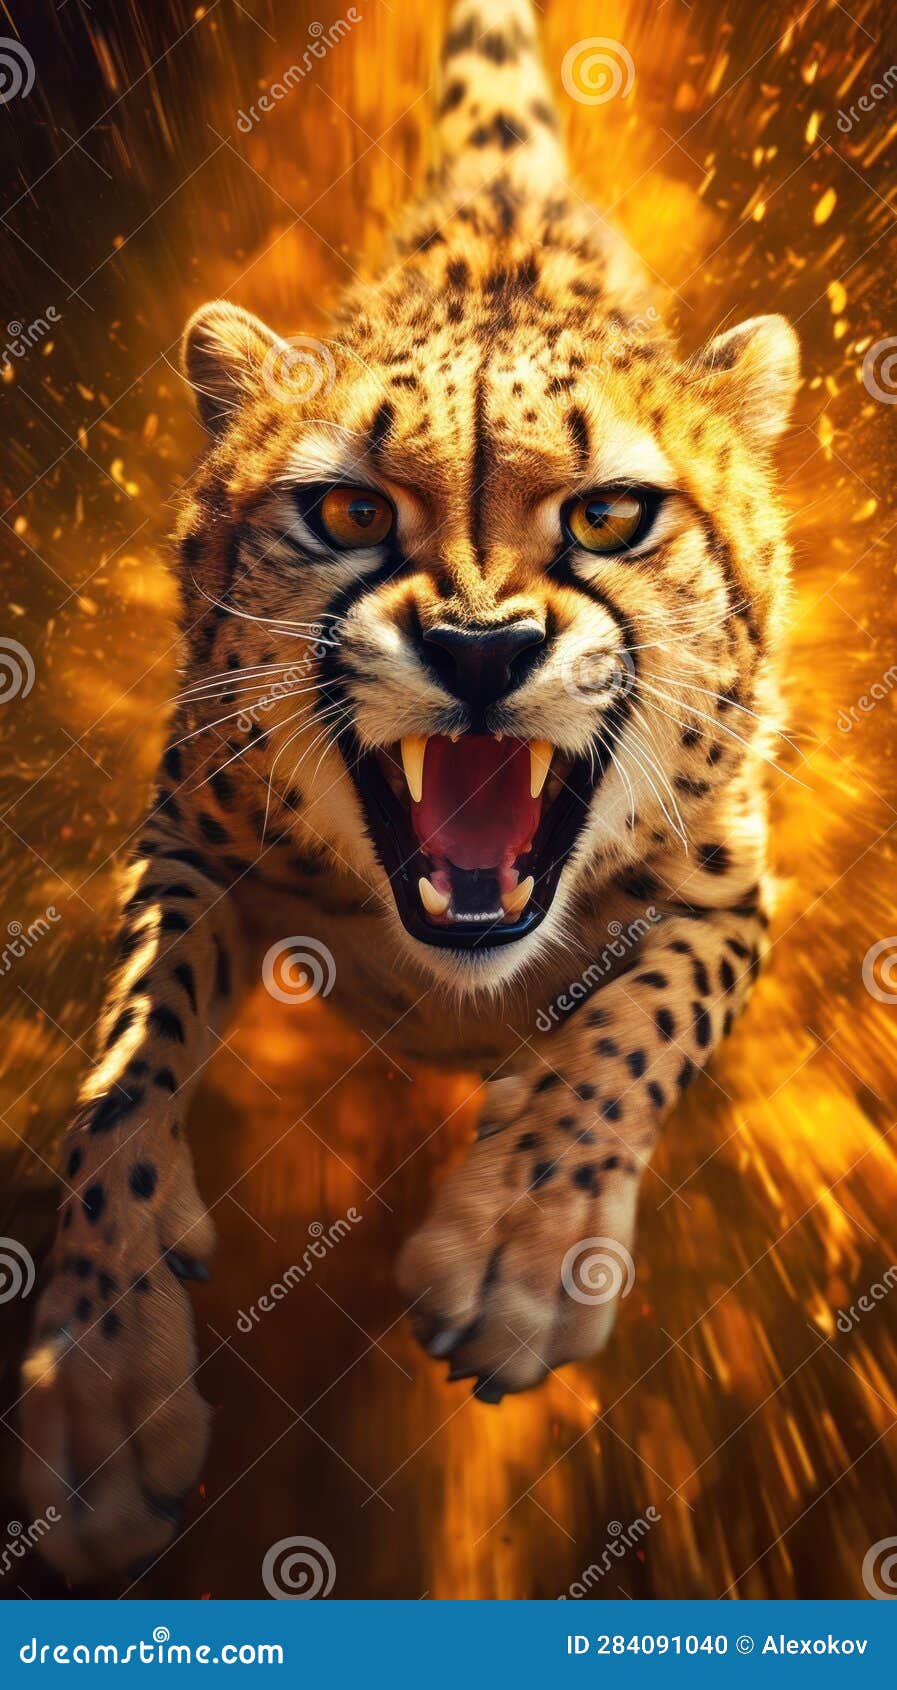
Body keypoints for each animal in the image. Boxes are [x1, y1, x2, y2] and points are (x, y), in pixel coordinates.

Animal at [18, 0, 799, 1582]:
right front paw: (104, 1364)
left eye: (610, 515)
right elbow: (125, 1064)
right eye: (349, 510)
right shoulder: (189, 826)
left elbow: (645, 1015)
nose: (482, 649)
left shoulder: (733, 874)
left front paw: (526, 1236)